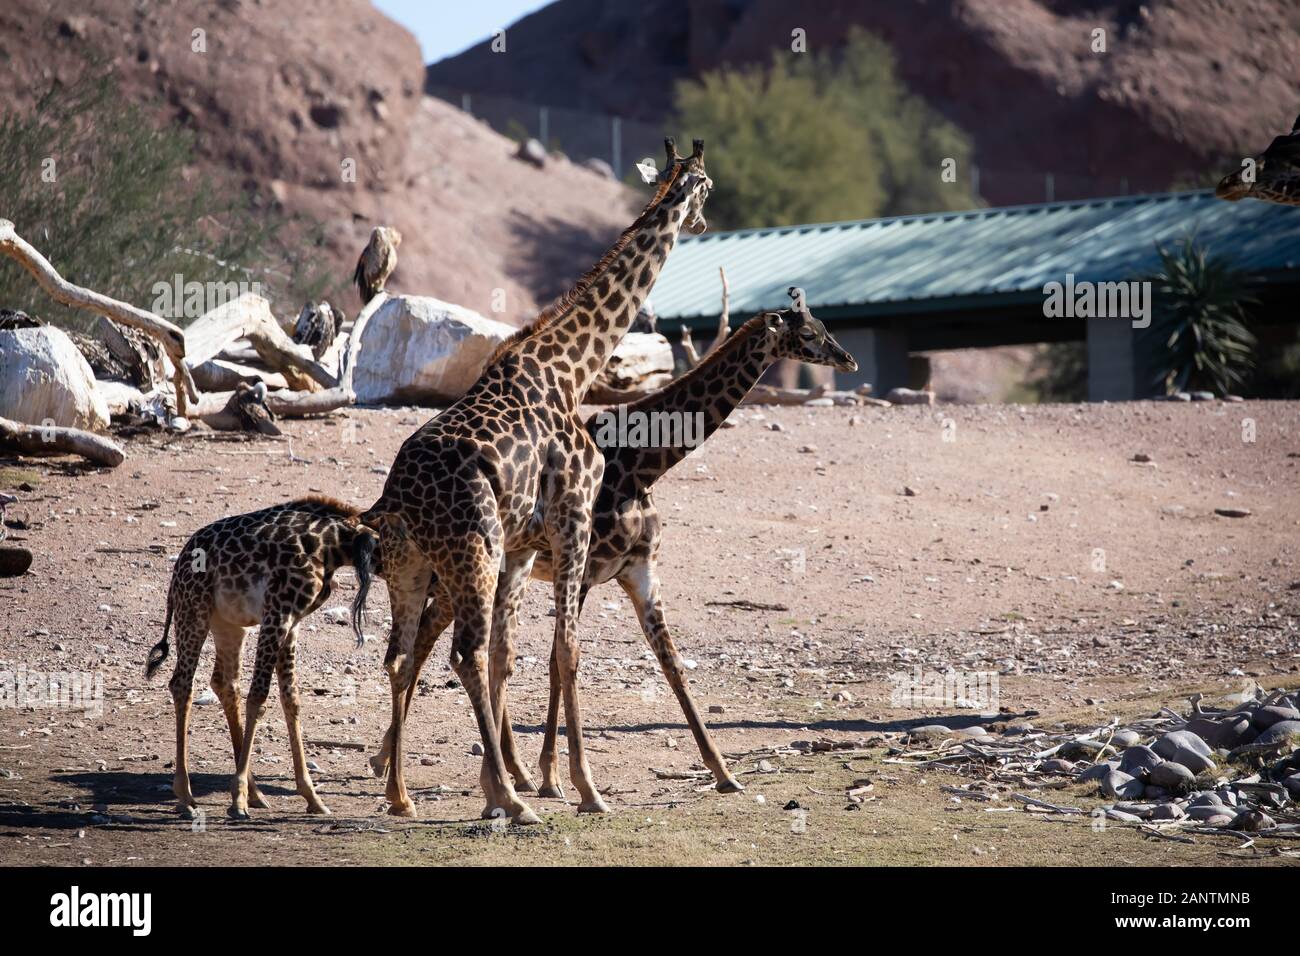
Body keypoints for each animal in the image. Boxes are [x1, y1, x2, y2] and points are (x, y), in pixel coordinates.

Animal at [146, 497, 380, 819]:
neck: (331, 544)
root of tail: (177, 569)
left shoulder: (292, 623)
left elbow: (290, 699)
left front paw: (312, 796)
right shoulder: (277, 613)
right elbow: (259, 695)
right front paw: (237, 800)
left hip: (228, 624)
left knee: (224, 683)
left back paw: (255, 793)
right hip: (194, 611)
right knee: (182, 683)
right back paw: (187, 797)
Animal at [360, 139, 711, 822]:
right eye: (707, 185)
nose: (706, 222)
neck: (573, 370)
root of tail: (394, 499)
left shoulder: (526, 546)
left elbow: (520, 653)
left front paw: (537, 778)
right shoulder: (572, 519)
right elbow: (566, 651)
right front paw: (584, 789)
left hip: (413, 566)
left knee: (402, 654)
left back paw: (403, 796)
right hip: (473, 551)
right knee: (460, 651)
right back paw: (509, 801)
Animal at [366, 288, 858, 802]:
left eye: (825, 327)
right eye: (809, 333)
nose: (848, 359)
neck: (644, 465)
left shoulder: (639, 571)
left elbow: (672, 664)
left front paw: (723, 771)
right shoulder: (583, 571)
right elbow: (557, 662)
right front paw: (554, 777)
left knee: (452, 645)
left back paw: (458, 768)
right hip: (466, 571)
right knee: (430, 642)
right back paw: (402, 763)